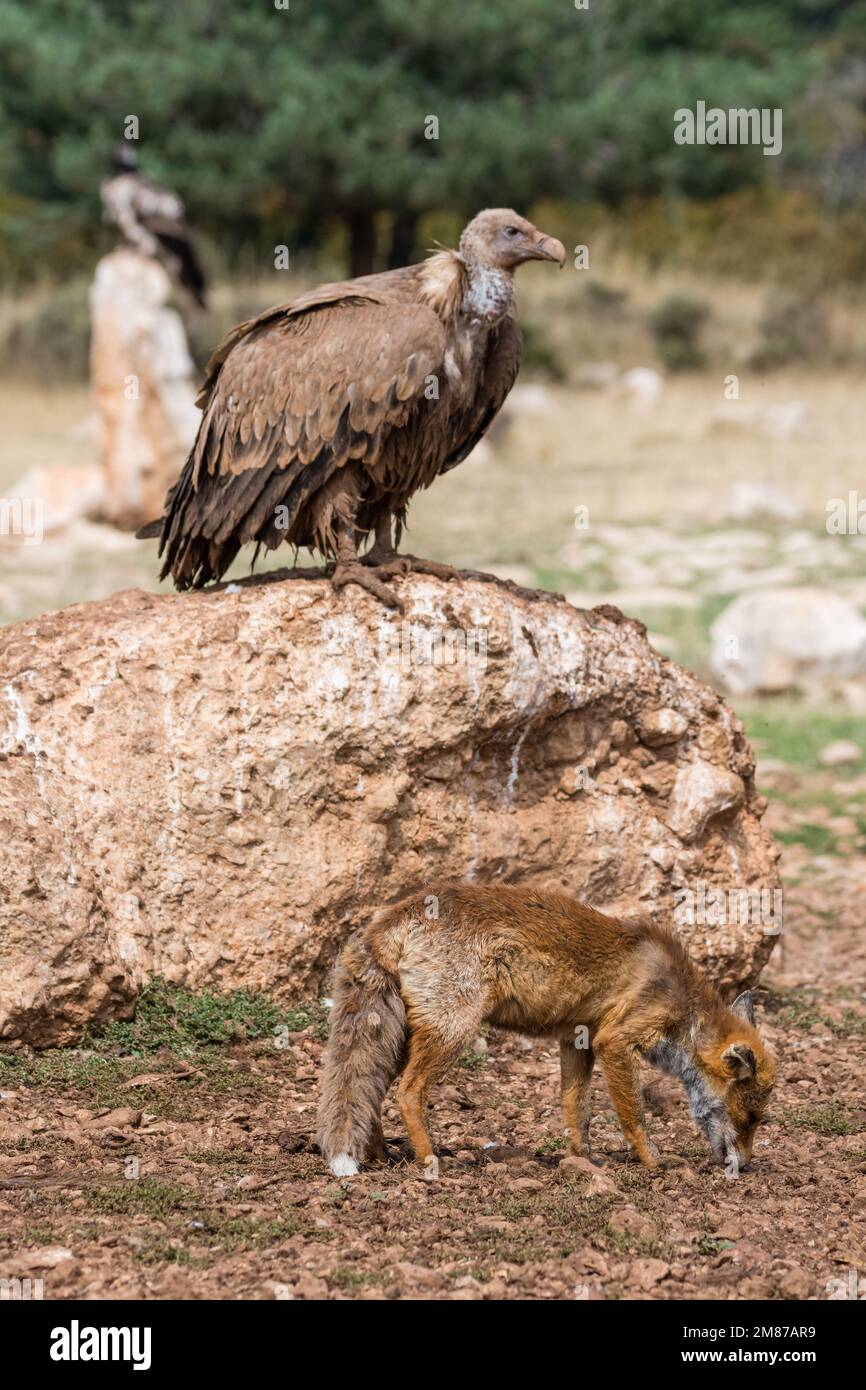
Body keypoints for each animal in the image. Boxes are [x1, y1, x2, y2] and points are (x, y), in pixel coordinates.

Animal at [316, 884, 775, 1179]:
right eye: (749, 1118)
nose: (747, 1165)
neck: (680, 998)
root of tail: (395, 913)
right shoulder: (616, 1041)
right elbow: (634, 1117)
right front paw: (654, 1162)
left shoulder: (577, 1039)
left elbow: (577, 1109)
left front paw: (582, 1160)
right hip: (452, 1030)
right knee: (407, 1093)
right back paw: (429, 1162)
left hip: (399, 1039)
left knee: (369, 1093)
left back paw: (378, 1155)